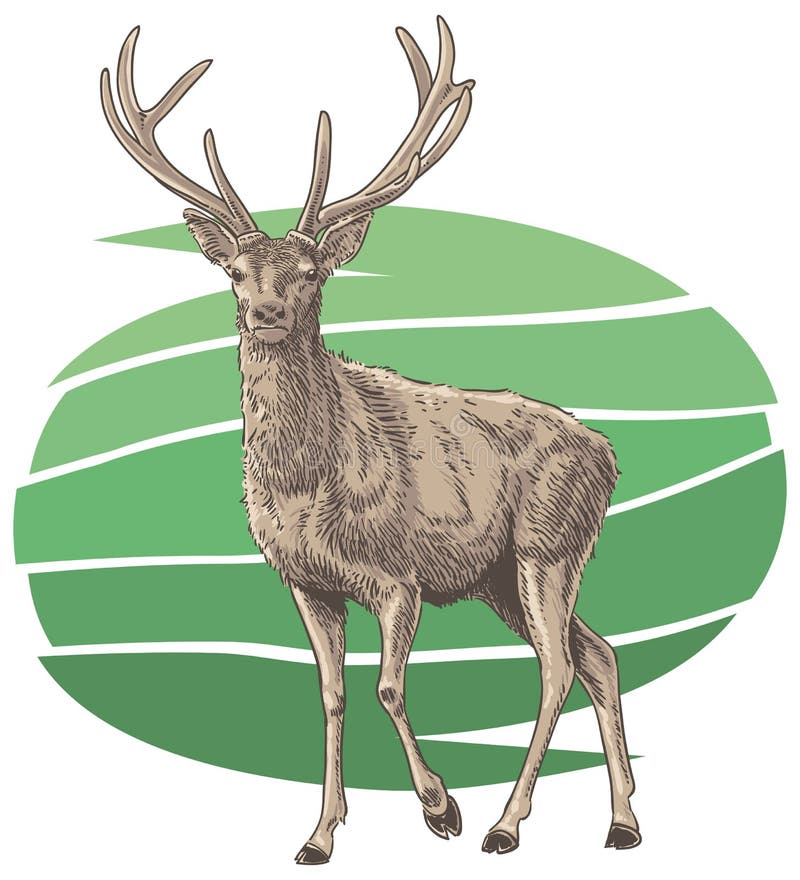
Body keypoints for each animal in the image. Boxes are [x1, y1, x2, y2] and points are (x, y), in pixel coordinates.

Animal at [100, 17, 641, 865]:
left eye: (313, 271)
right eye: (236, 272)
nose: (265, 314)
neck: (307, 485)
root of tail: (608, 454)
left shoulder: (399, 575)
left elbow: (388, 685)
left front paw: (441, 808)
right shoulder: (305, 579)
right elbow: (331, 693)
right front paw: (319, 836)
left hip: (546, 543)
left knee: (557, 666)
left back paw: (505, 824)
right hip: (499, 574)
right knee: (599, 654)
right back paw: (621, 823)